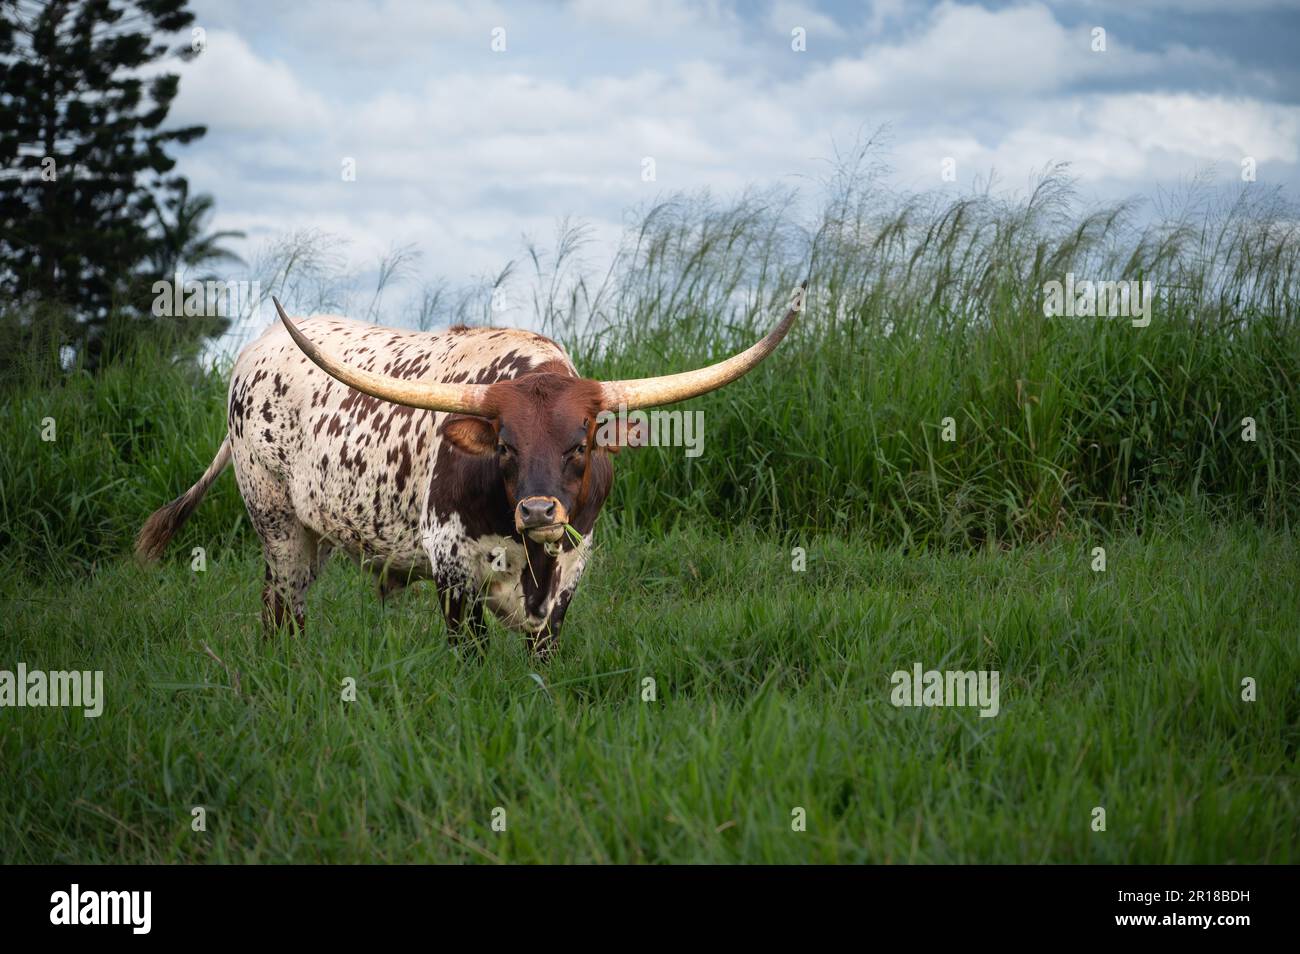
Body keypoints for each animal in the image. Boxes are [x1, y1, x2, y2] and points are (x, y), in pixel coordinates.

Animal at [136, 284, 805, 656]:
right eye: (504, 445)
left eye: (580, 444)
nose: (537, 510)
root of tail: (255, 351)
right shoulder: (452, 567)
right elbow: (470, 654)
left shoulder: (573, 567)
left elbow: (545, 653)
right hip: (274, 517)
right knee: (284, 605)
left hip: (314, 528)